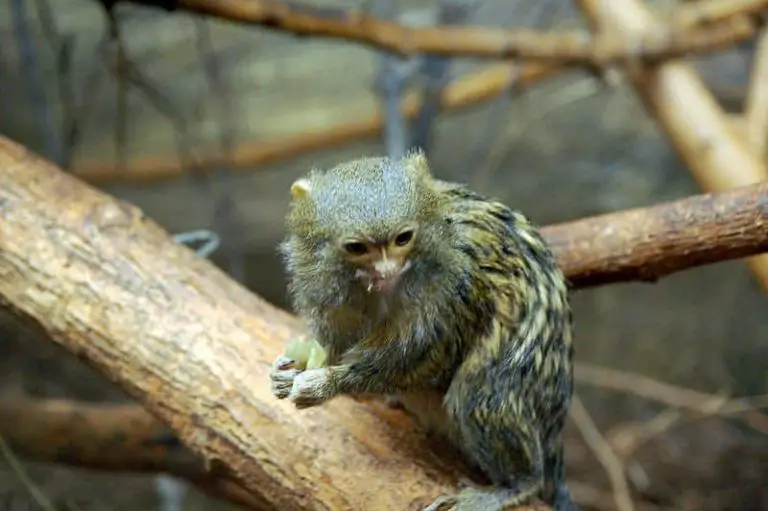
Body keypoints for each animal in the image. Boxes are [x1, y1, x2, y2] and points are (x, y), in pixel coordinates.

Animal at [270, 151, 575, 511]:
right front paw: (288, 371)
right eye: (357, 248)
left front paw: (326, 384)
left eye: (402, 239)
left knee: (481, 393)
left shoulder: (458, 291)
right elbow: (333, 344)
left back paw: (517, 483)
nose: (387, 270)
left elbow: (427, 360)